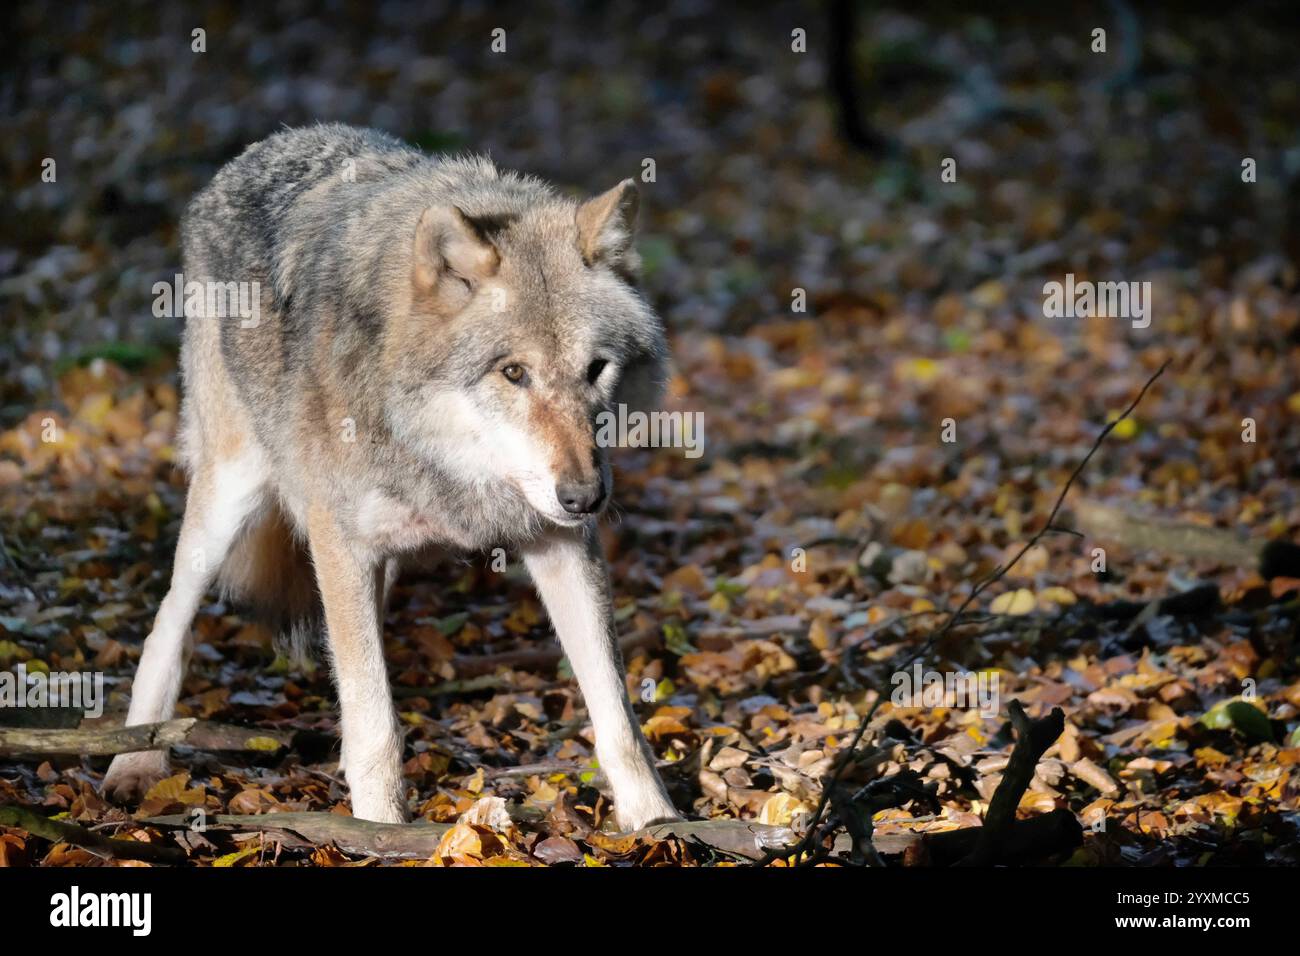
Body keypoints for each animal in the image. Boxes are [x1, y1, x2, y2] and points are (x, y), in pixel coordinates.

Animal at [102, 124, 680, 830]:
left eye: (597, 368)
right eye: (513, 373)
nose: (586, 496)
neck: (446, 462)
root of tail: (262, 148)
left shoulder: (563, 543)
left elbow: (616, 712)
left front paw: (658, 824)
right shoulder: (339, 542)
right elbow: (376, 720)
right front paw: (379, 831)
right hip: (231, 493)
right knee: (169, 625)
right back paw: (135, 762)